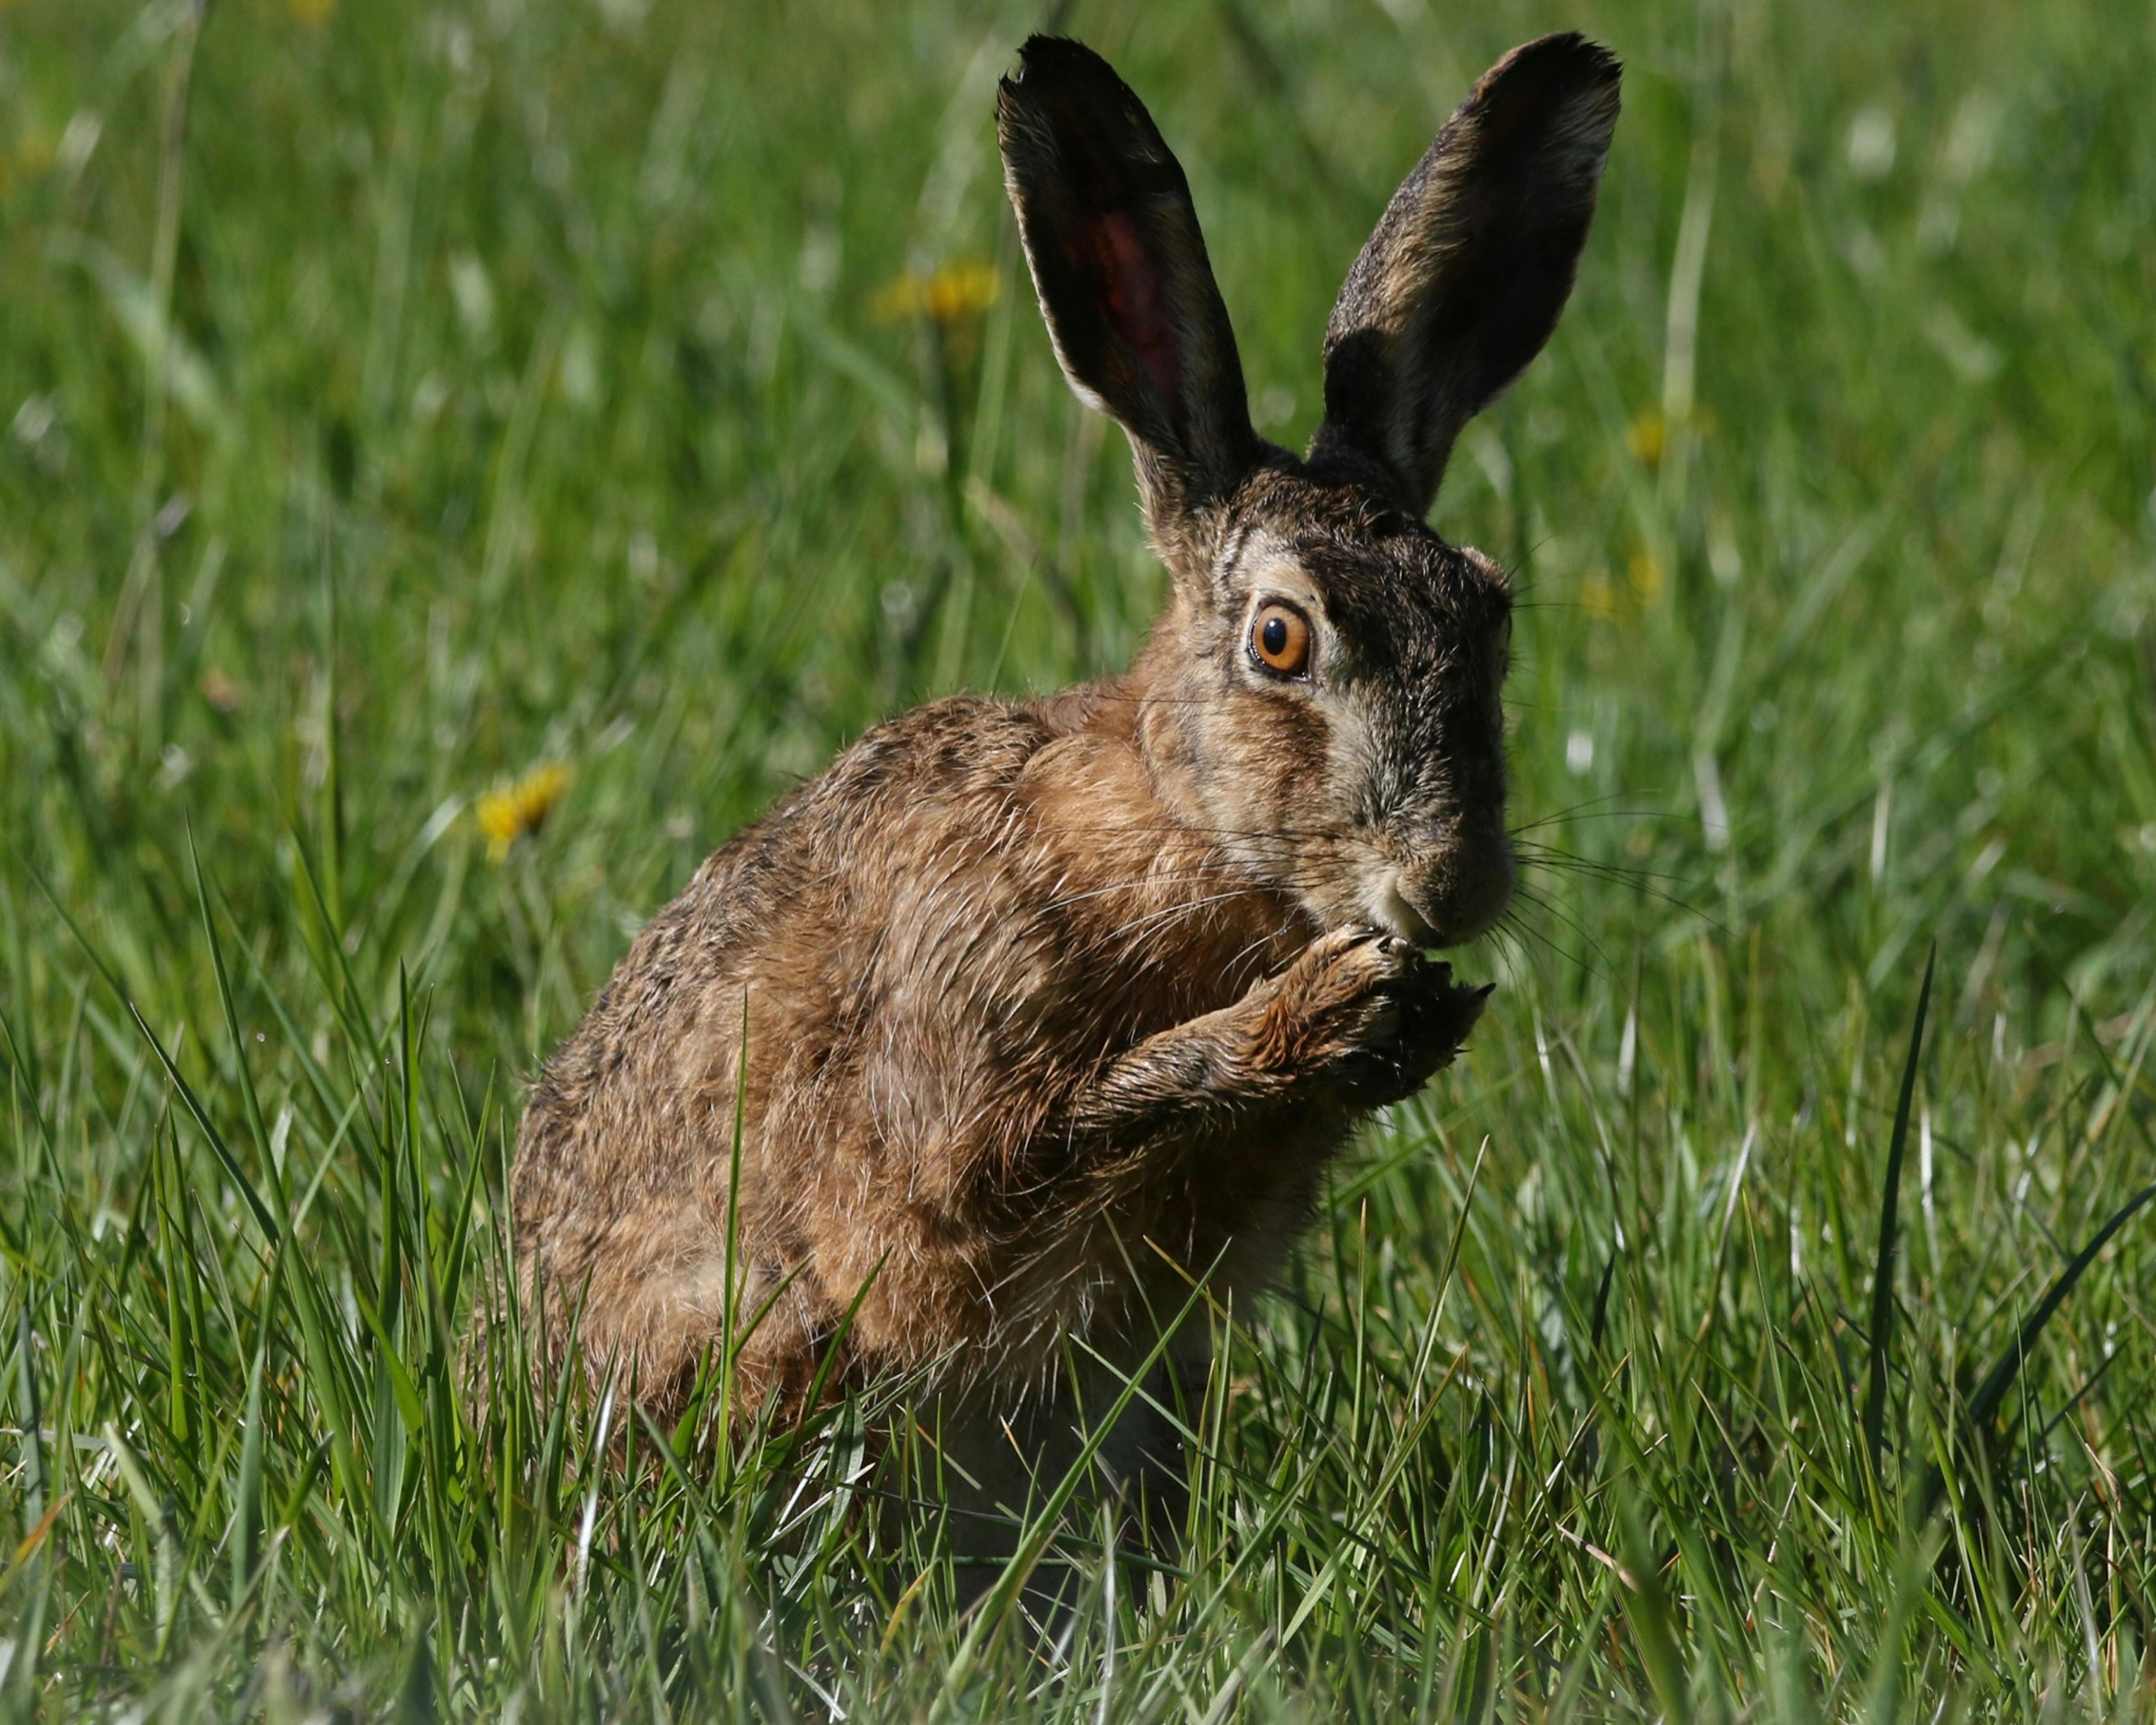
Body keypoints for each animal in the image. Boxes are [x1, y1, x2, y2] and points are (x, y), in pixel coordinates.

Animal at [508, 31, 1619, 1536]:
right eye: (1281, 639)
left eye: (1491, 613)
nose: (1446, 885)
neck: (1183, 831)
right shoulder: (944, 1096)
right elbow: (999, 1173)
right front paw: (1318, 1015)